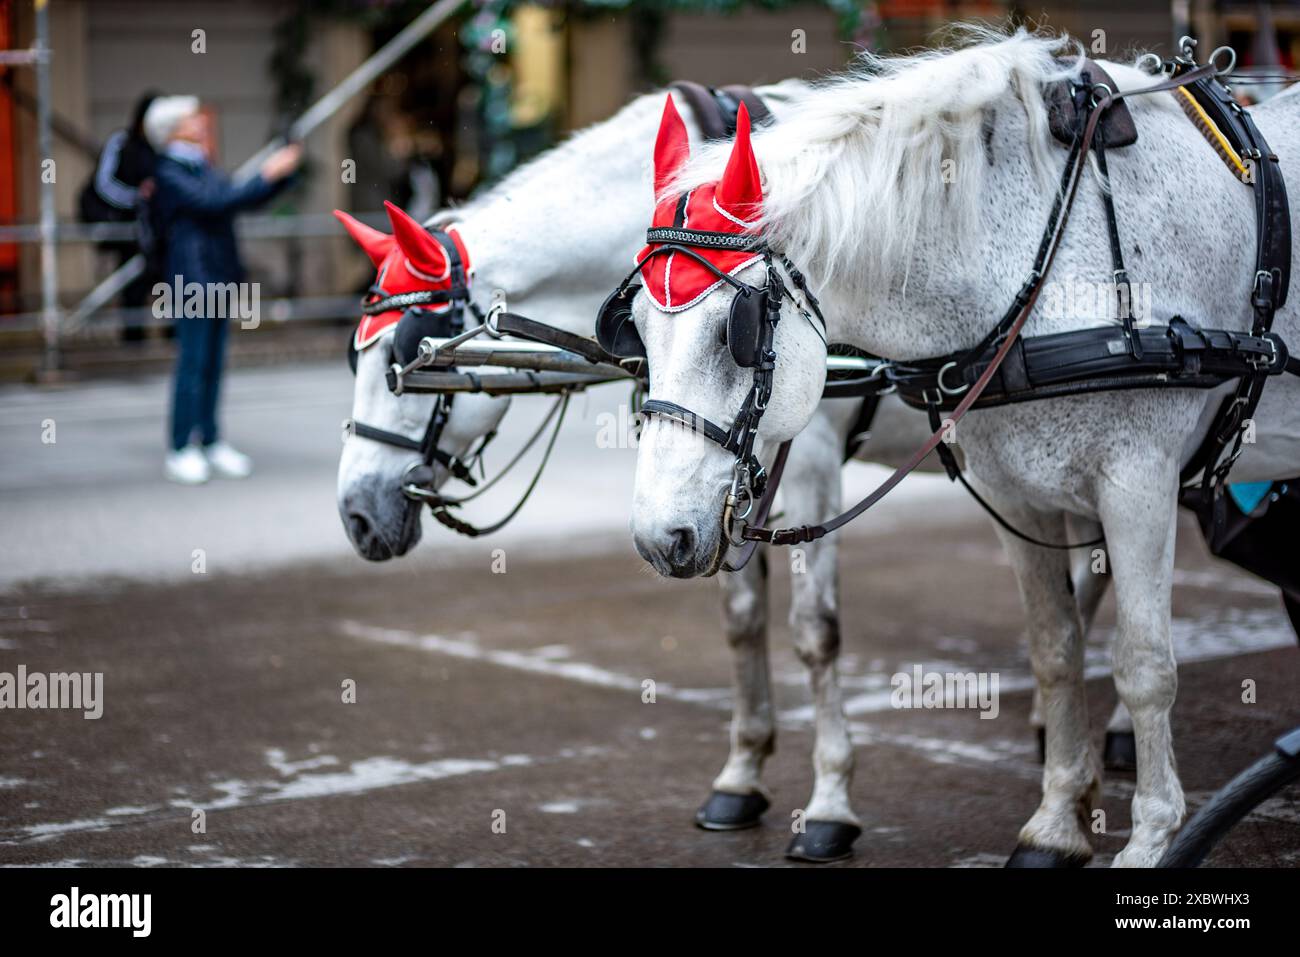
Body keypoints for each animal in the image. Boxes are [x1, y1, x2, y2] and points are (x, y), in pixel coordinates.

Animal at [617, 28, 1300, 866]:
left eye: (733, 331)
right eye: (635, 327)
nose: (660, 538)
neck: (1047, 256)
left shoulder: (1139, 483)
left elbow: (1144, 664)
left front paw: (1149, 841)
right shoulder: (1017, 492)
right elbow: (1056, 649)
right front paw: (1056, 822)